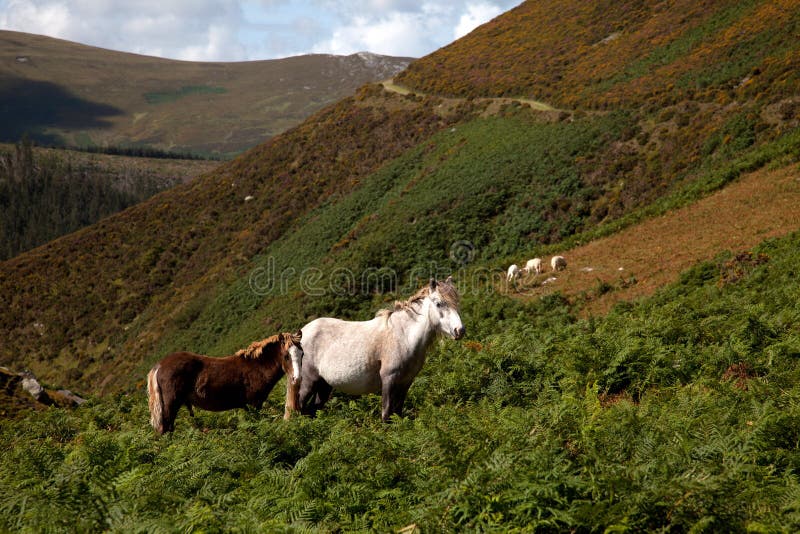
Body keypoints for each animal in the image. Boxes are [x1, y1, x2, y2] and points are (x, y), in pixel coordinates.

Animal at [147, 331, 303, 434]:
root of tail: (159, 365)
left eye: (302, 354)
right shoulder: (253, 404)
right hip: (170, 405)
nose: (297, 378)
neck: (258, 367)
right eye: (286, 356)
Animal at [298, 277, 465, 422]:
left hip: (324, 385)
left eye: (457, 302)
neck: (403, 336)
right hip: (309, 381)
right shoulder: (389, 379)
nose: (460, 330)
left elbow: (397, 412)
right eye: (438, 303)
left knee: (312, 410)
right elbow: (386, 413)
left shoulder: (405, 382)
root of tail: (302, 332)